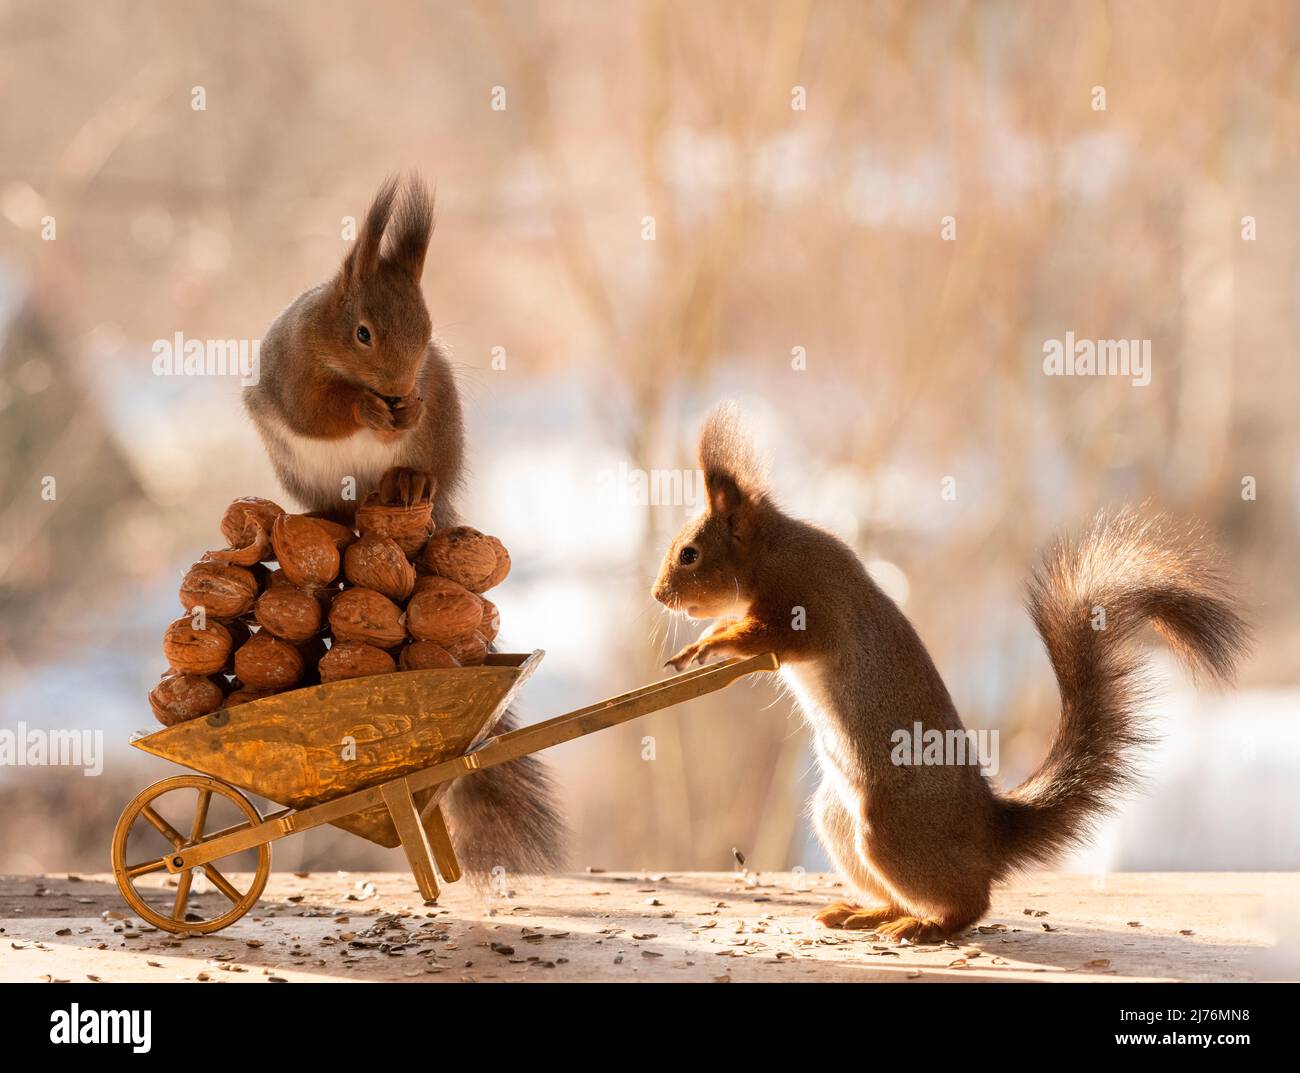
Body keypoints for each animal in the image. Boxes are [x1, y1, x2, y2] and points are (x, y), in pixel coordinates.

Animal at [243, 174, 564, 877]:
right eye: (363, 332)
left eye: (428, 327)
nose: (397, 387)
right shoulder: (291, 374)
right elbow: (319, 410)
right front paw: (363, 407)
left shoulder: (428, 379)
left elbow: (407, 410)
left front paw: (403, 409)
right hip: (300, 470)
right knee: (331, 504)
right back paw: (330, 512)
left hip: (438, 443)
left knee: (411, 475)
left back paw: (407, 483)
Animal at [653, 403, 1249, 941]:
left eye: (690, 554)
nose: (659, 596)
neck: (771, 550)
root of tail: (988, 831)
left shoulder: (805, 606)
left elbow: (767, 636)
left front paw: (706, 646)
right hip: (838, 820)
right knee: (902, 893)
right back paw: (868, 913)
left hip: (889, 830)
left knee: (969, 903)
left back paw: (925, 926)